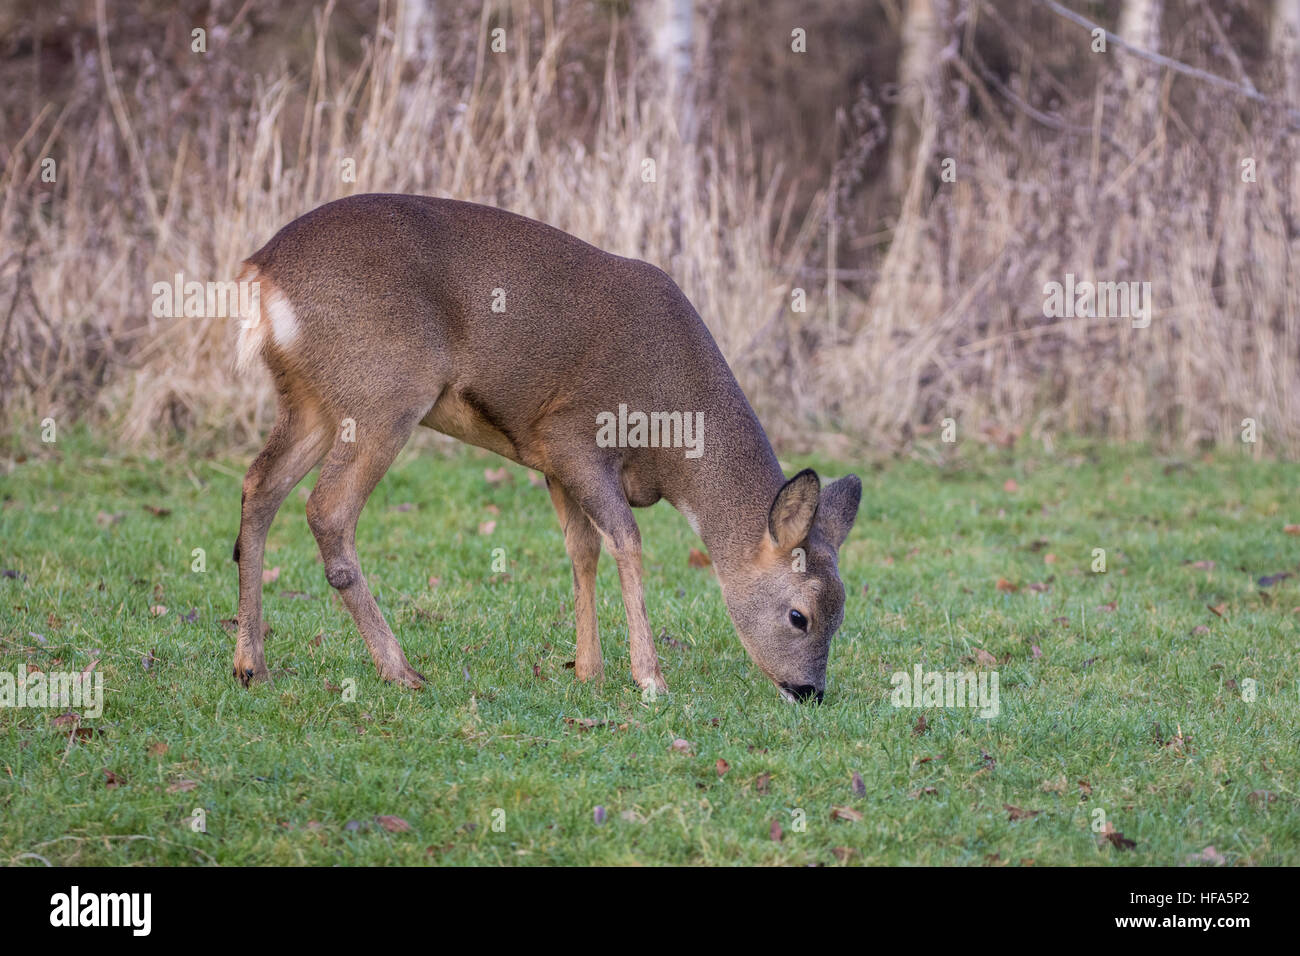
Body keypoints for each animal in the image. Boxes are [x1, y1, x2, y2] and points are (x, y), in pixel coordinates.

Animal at [231, 194, 861, 702]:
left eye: (843, 612)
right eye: (799, 615)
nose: (810, 691)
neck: (672, 437)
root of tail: (259, 270)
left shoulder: (549, 459)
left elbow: (581, 550)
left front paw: (588, 669)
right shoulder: (573, 435)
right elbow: (627, 540)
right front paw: (649, 678)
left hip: (312, 400)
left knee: (259, 485)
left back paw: (250, 665)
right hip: (382, 392)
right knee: (327, 510)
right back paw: (400, 670)